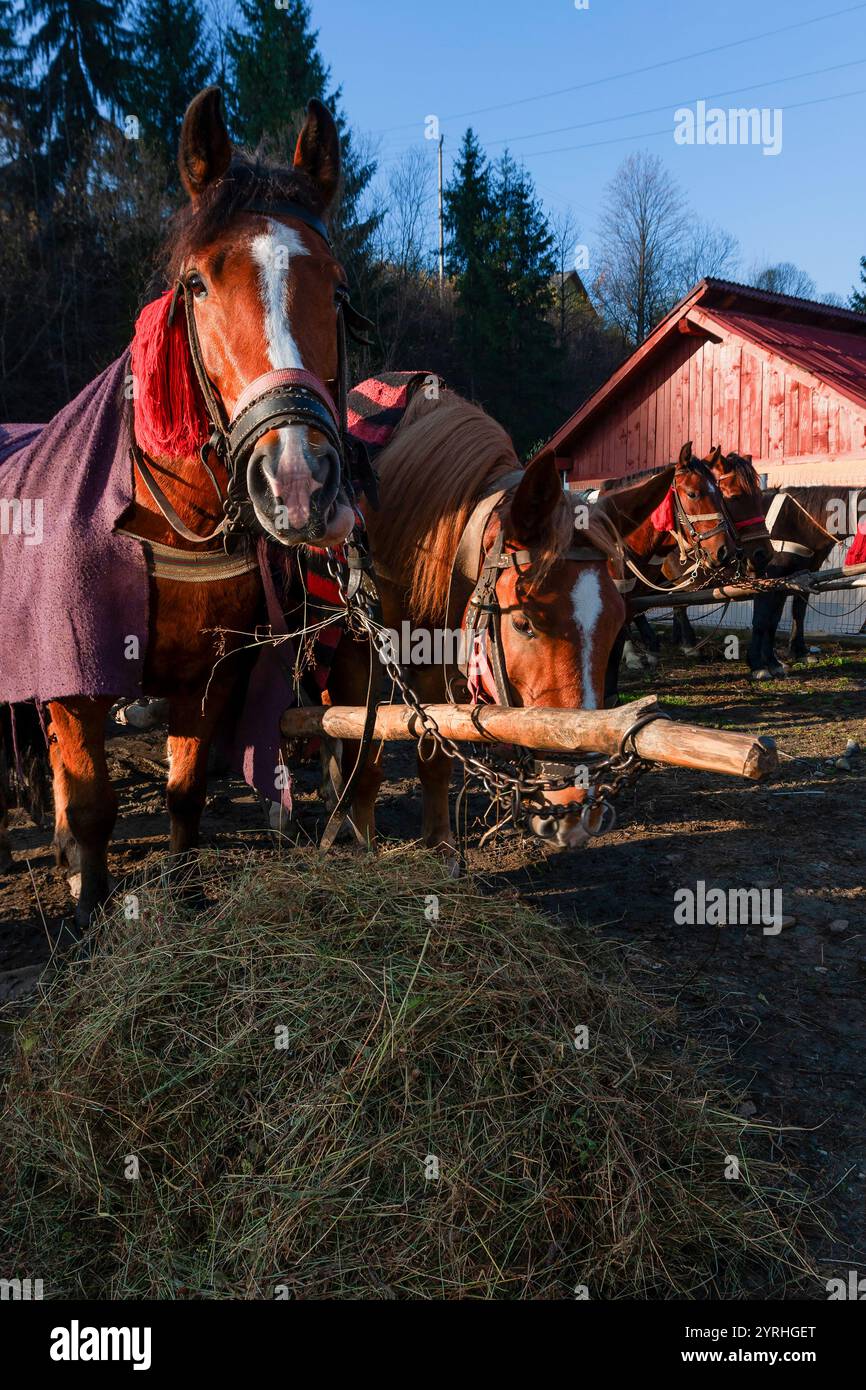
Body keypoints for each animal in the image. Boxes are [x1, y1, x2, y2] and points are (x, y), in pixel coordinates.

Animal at [0, 86, 359, 927]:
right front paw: (88, 906)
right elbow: (93, 805)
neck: (168, 523)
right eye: (198, 284)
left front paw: (187, 896)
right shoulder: (73, 675)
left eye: (335, 285)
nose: (296, 479)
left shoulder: (209, 677)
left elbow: (187, 792)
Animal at [326, 387, 674, 859]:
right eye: (524, 623)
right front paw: (363, 833)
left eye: (617, 624)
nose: (575, 809)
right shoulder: (357, 656)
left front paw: (440, 845)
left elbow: (434, 748)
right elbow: (359, 743)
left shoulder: (438, 658)